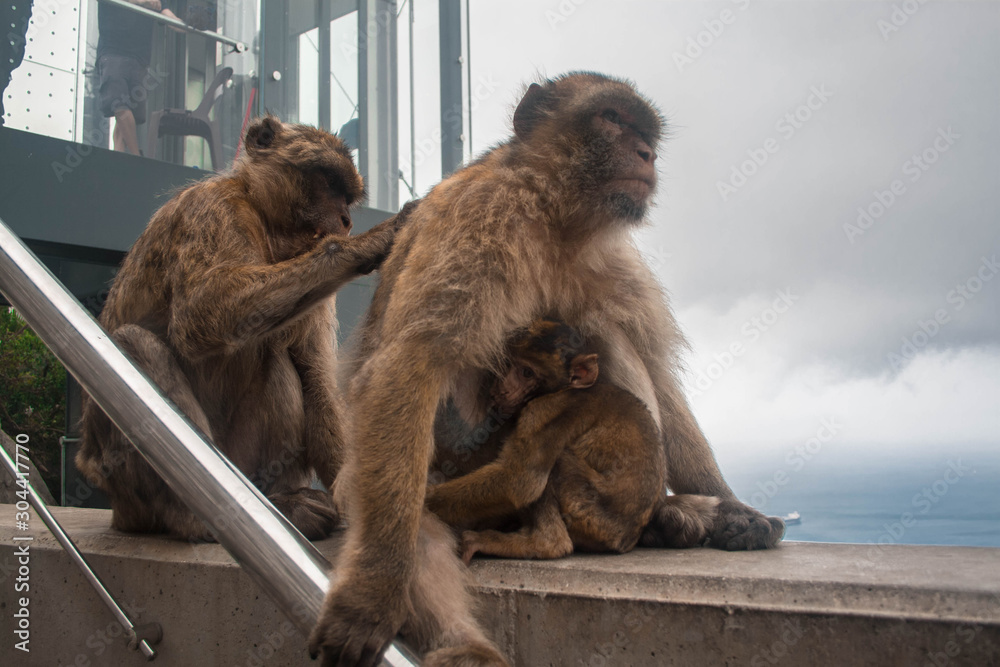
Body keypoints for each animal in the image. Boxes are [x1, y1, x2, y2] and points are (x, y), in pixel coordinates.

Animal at [76, 115, 408, 542]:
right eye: (328, 183)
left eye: (346, 197)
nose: (347, 221)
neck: (264, 218)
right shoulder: (213, 208)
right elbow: (201, 312)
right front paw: (368, 243)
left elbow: (315, 375)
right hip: (125, 487)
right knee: (134, 342)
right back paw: (197, 518)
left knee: (279, 360)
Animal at [425, 318, 720, 562]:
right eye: (508, 364)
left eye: (526, 372)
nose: (501, 388)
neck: (566, 388)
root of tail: (627, 539)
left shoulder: (545, 412)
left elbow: (520, 479)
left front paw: (423, 502)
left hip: (591, 515)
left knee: (557, 467)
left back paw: (543, 543)